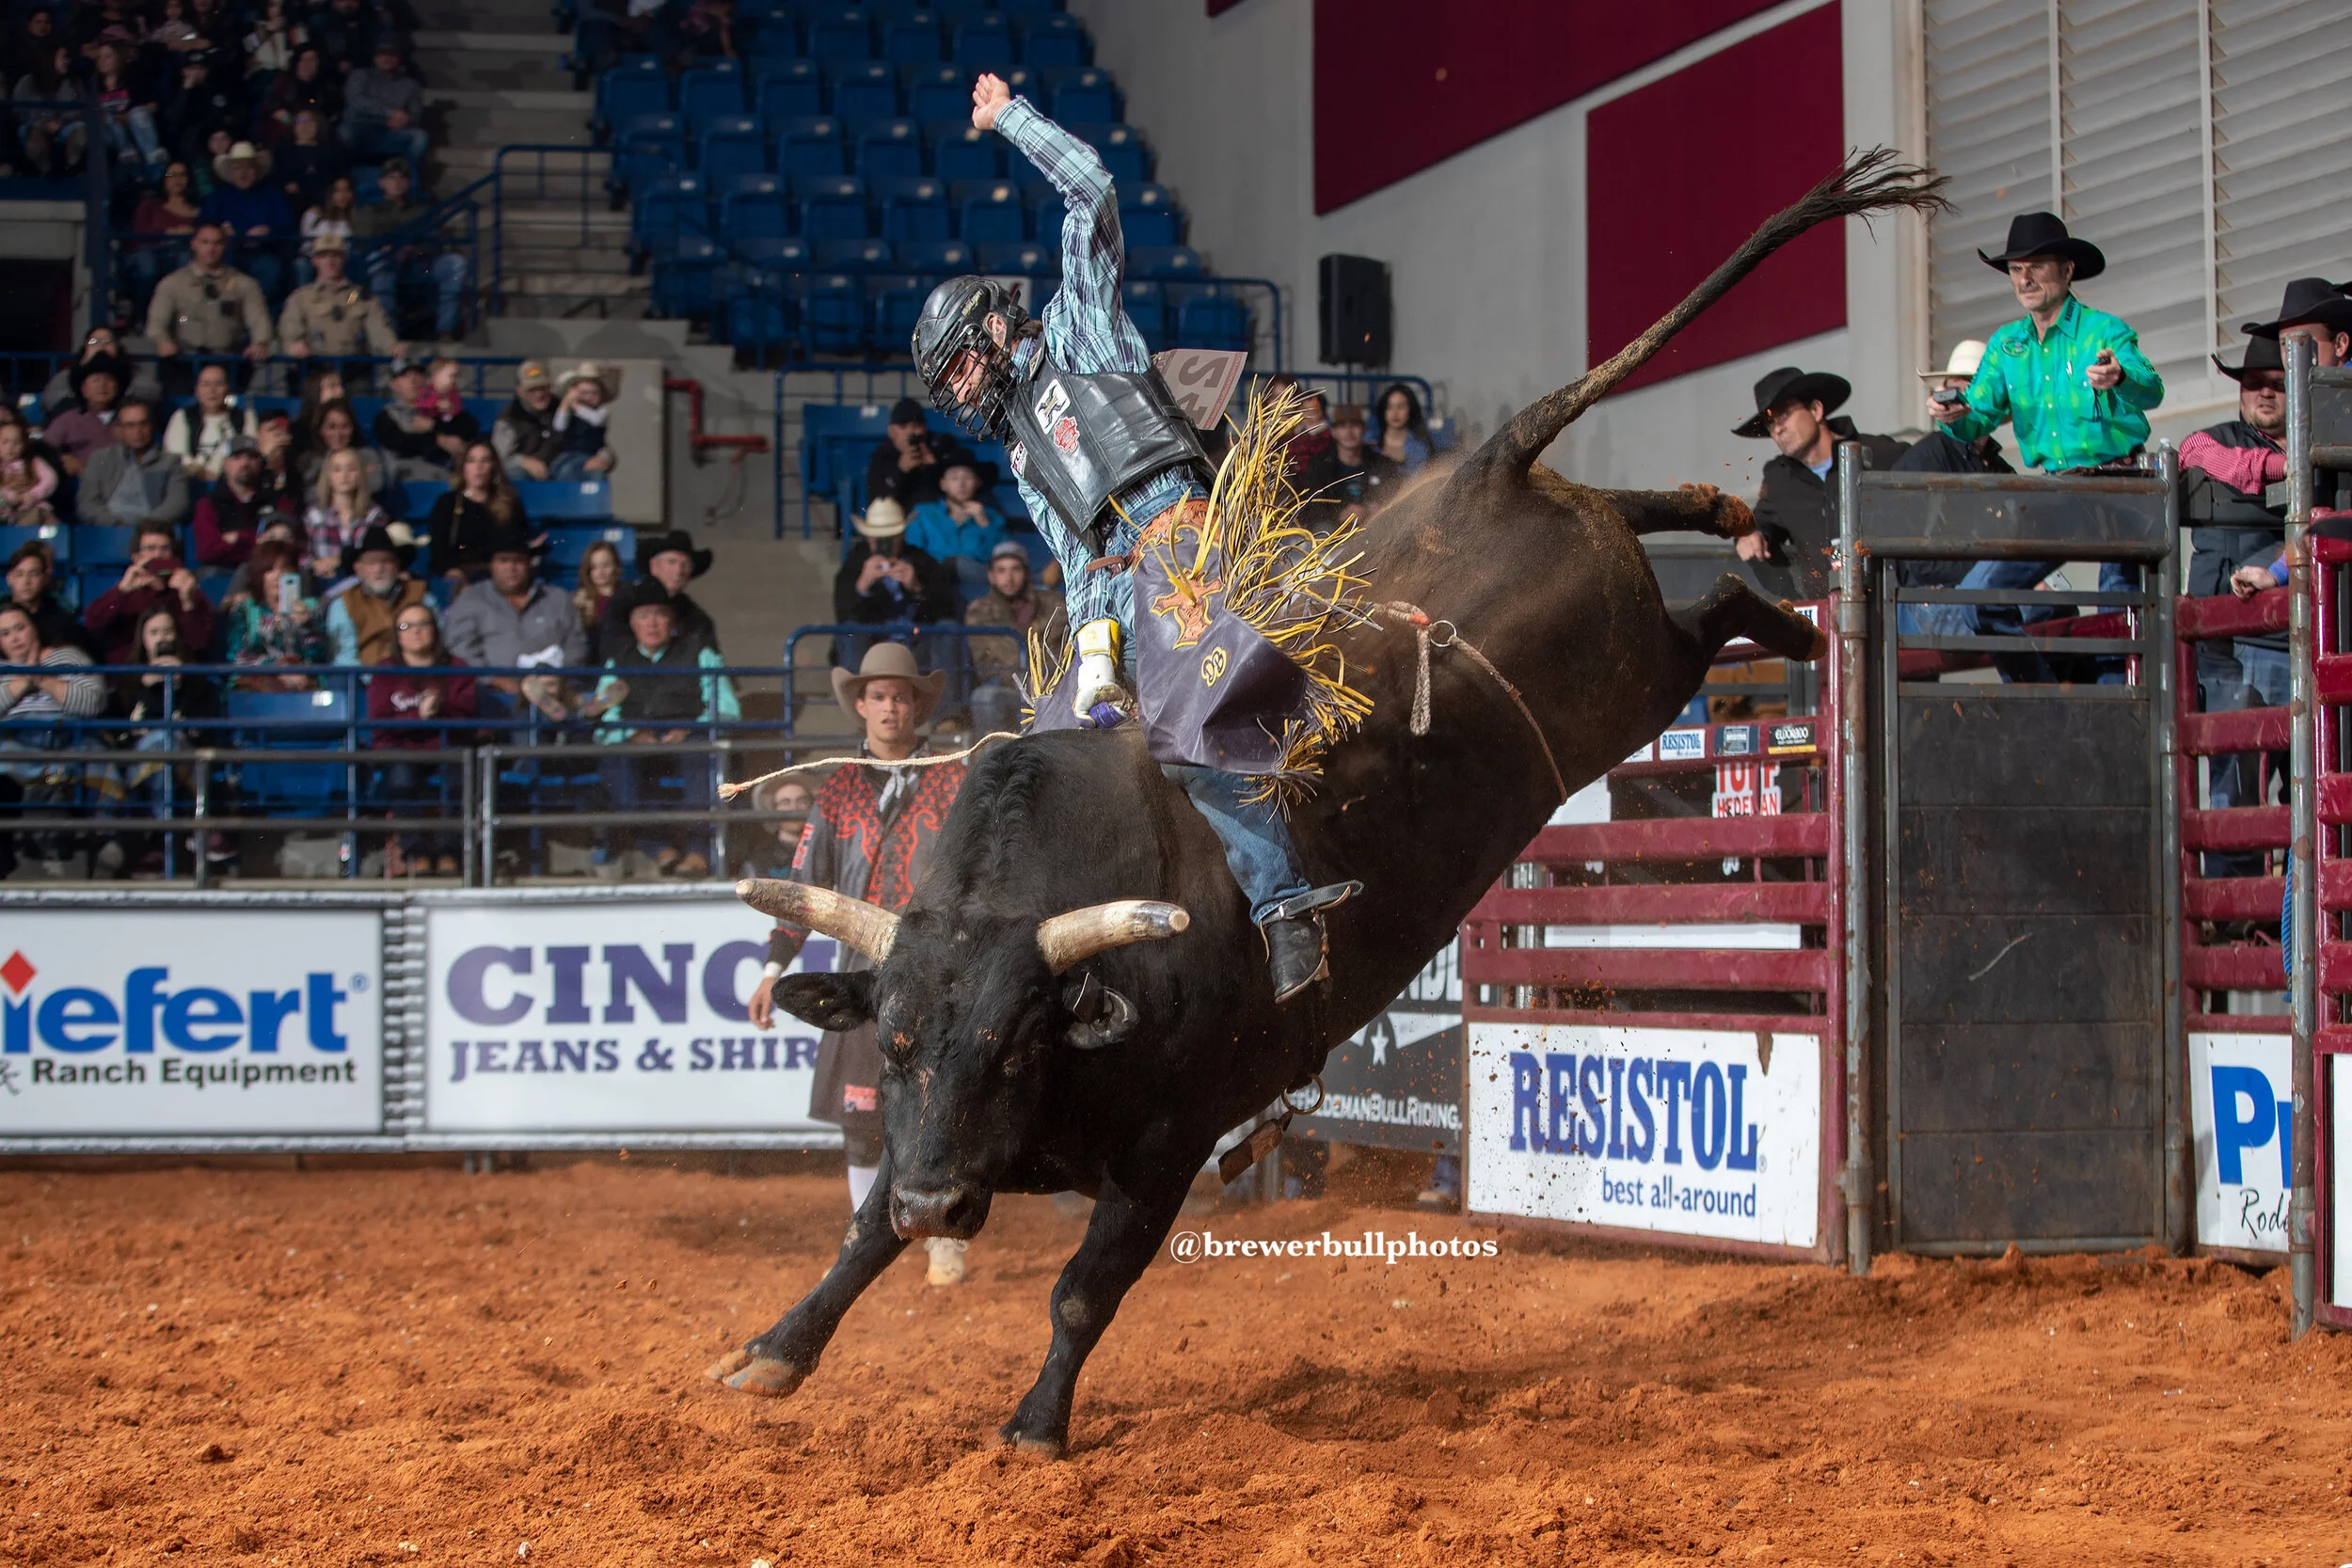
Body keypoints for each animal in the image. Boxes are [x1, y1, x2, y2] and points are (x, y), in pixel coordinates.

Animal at [706, 150, 1948, 1456]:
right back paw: (1728, 512)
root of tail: (1492, 462)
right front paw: (776, 1348)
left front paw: (1038, 1421)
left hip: (1636, 678)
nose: (942, 1199)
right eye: (894, 1042)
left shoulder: (1167, 1147)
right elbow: (861, 1231)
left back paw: (1795, 611)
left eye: (1010, 1046)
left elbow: (1084, 1286)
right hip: (1601, 580)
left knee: (1714, 615)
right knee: (1644, 512)